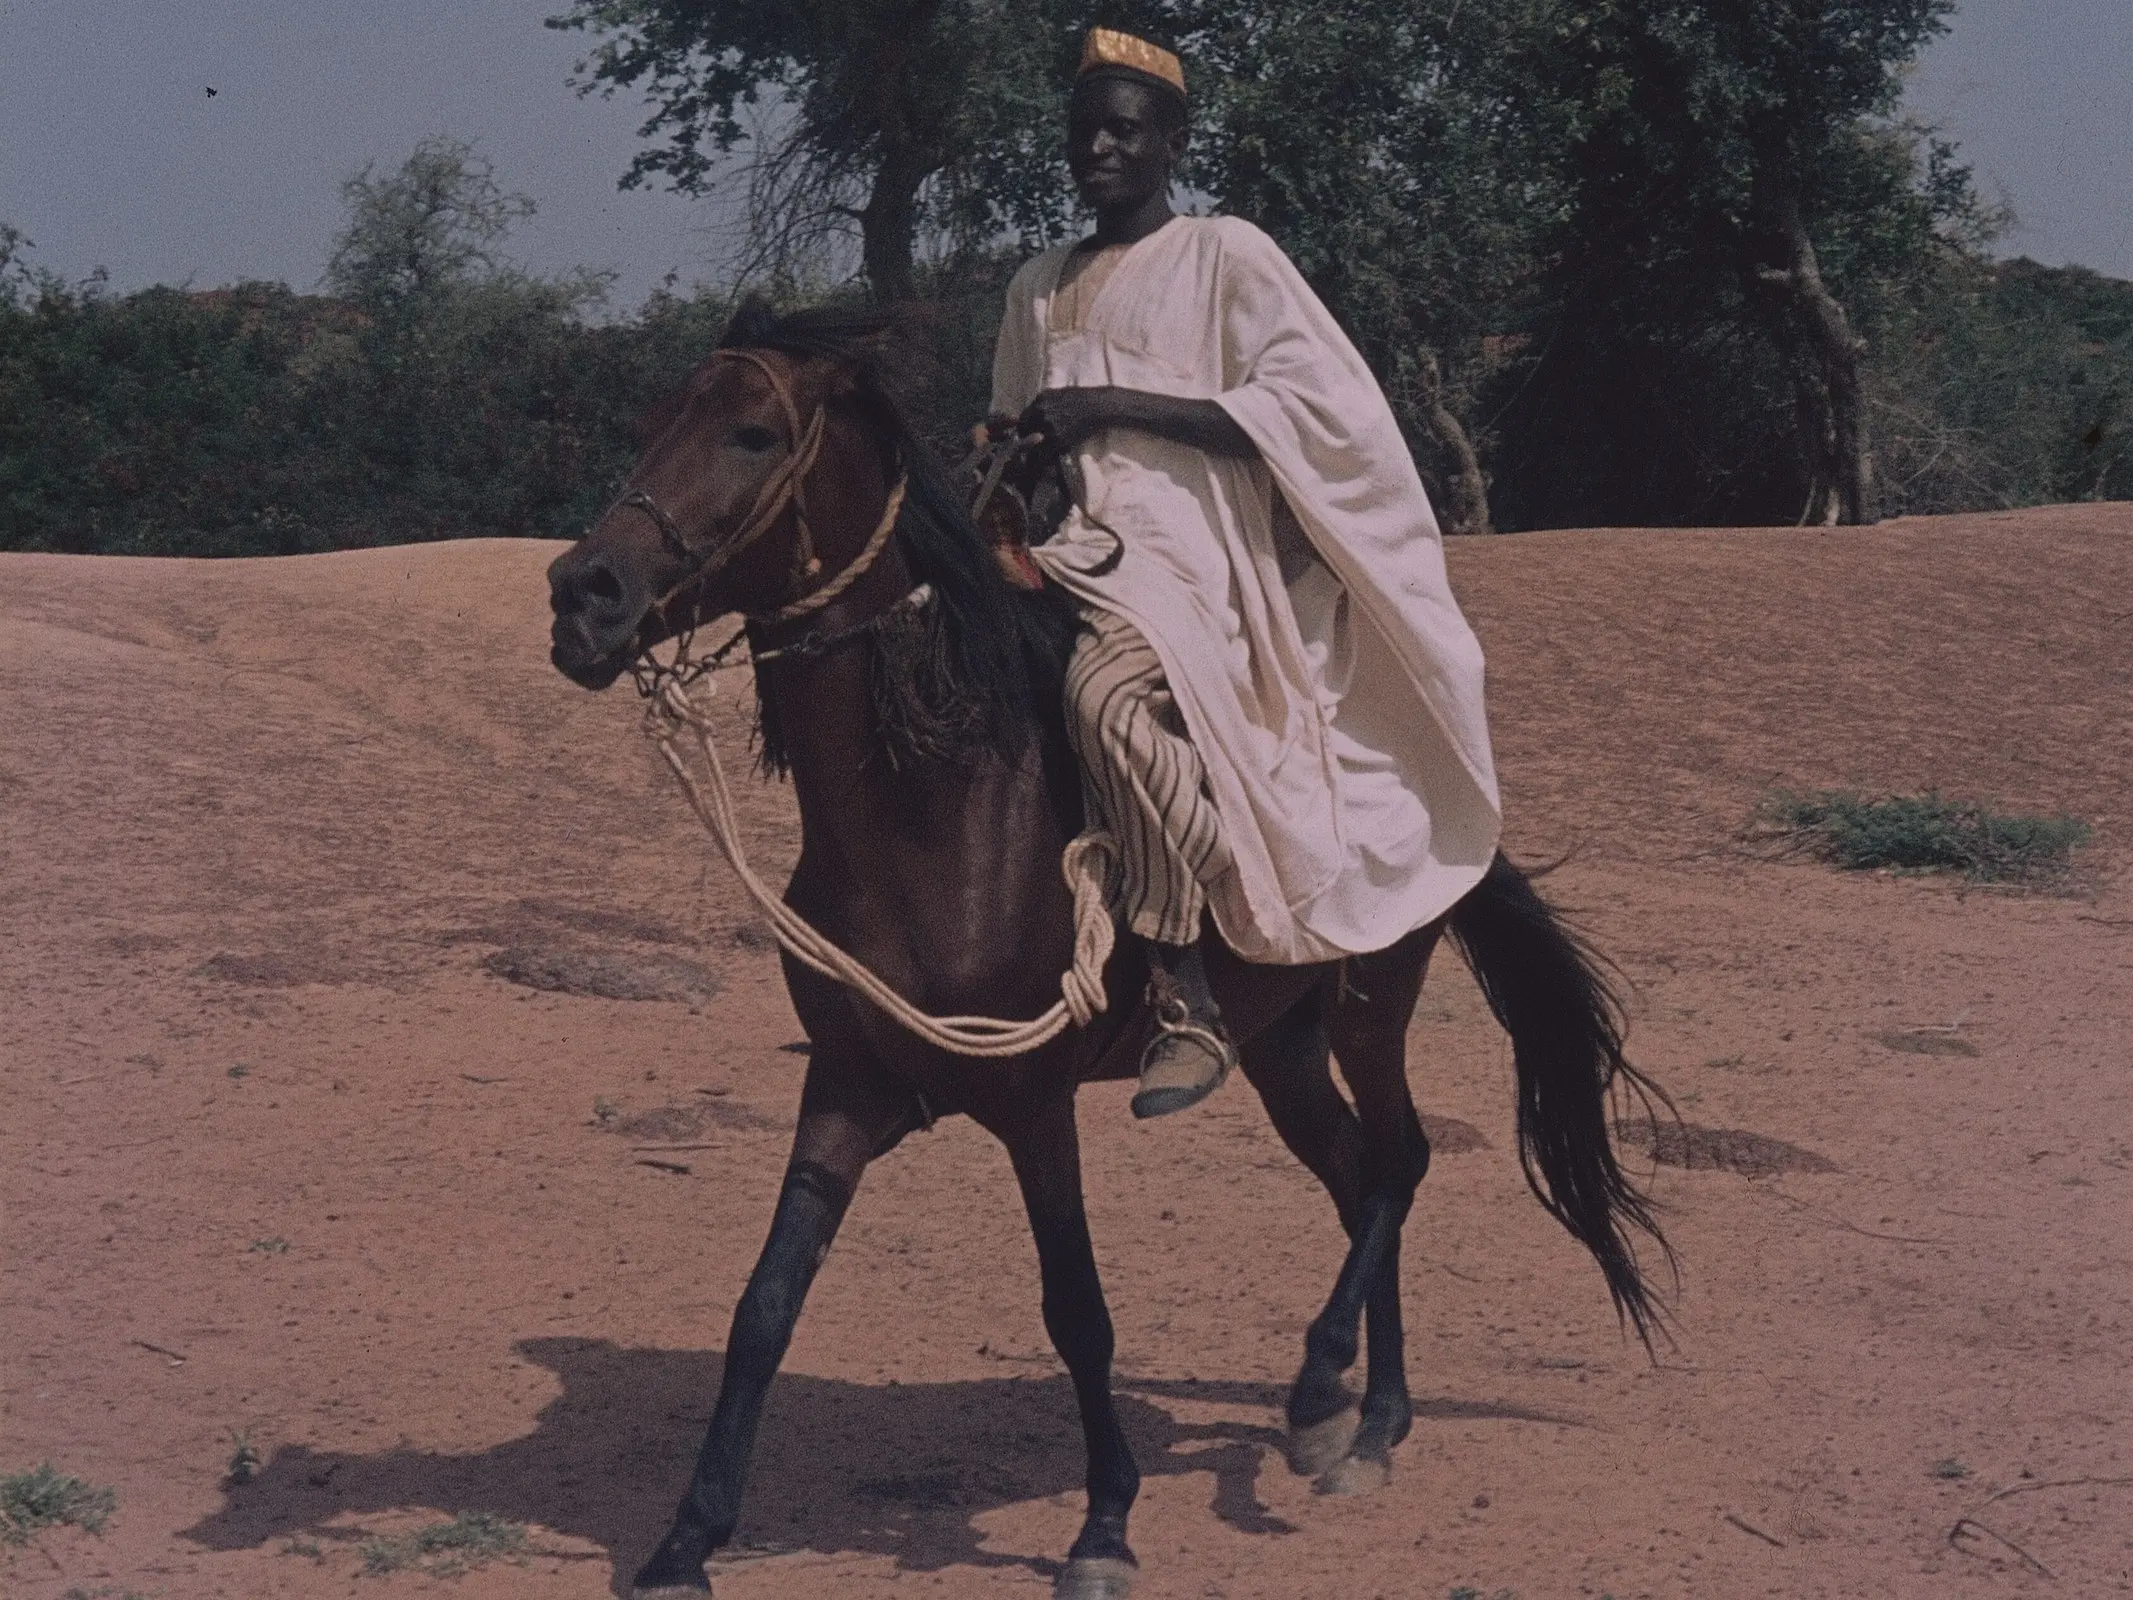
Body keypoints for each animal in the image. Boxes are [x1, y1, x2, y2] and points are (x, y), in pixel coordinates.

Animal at [545, 302, 1669, 1599]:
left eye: (751, 432)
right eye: (651, 420)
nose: (582, 592)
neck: (939, 815)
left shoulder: (1036, 1103)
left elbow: (1077, 1309)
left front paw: (1105, 1525)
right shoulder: (847, 1083)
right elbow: (763, 1305)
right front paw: (686, 1537)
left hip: (1370, 1006)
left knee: (1399, 1164)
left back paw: (1333, 1392)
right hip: (1280, 1042)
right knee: (1355, 1178)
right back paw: (1362, 1419)